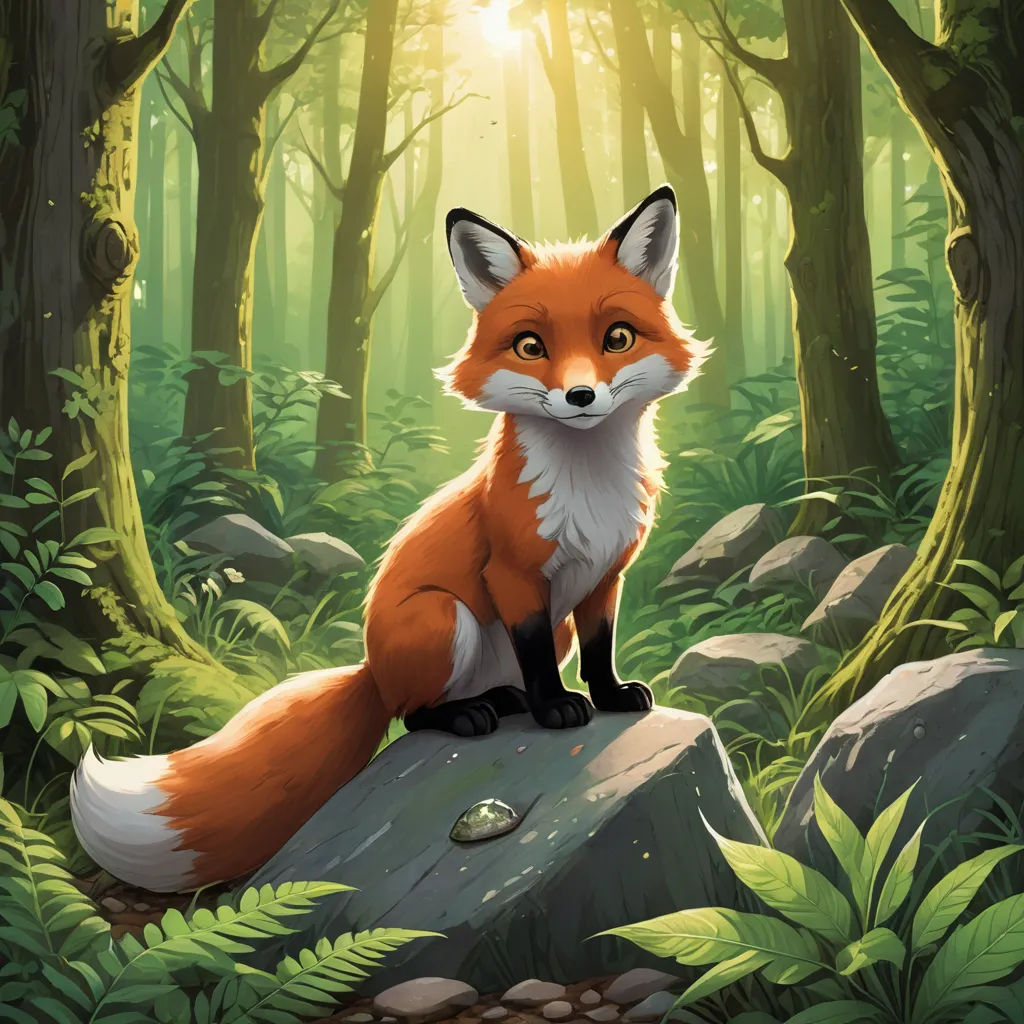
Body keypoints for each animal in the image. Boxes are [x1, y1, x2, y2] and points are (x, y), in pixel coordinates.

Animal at [71, 184, 705, 892]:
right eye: (530, 346)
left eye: (617, 337)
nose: (581, 395)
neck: (587, 488)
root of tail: (370, 669)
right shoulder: (512, 576)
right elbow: (539, 657)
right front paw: (554, 709)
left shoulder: (605, 574)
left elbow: (599, 651)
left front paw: (611, 697)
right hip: (444, 616)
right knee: (414, 713)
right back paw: (470, 714)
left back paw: (500, 699)